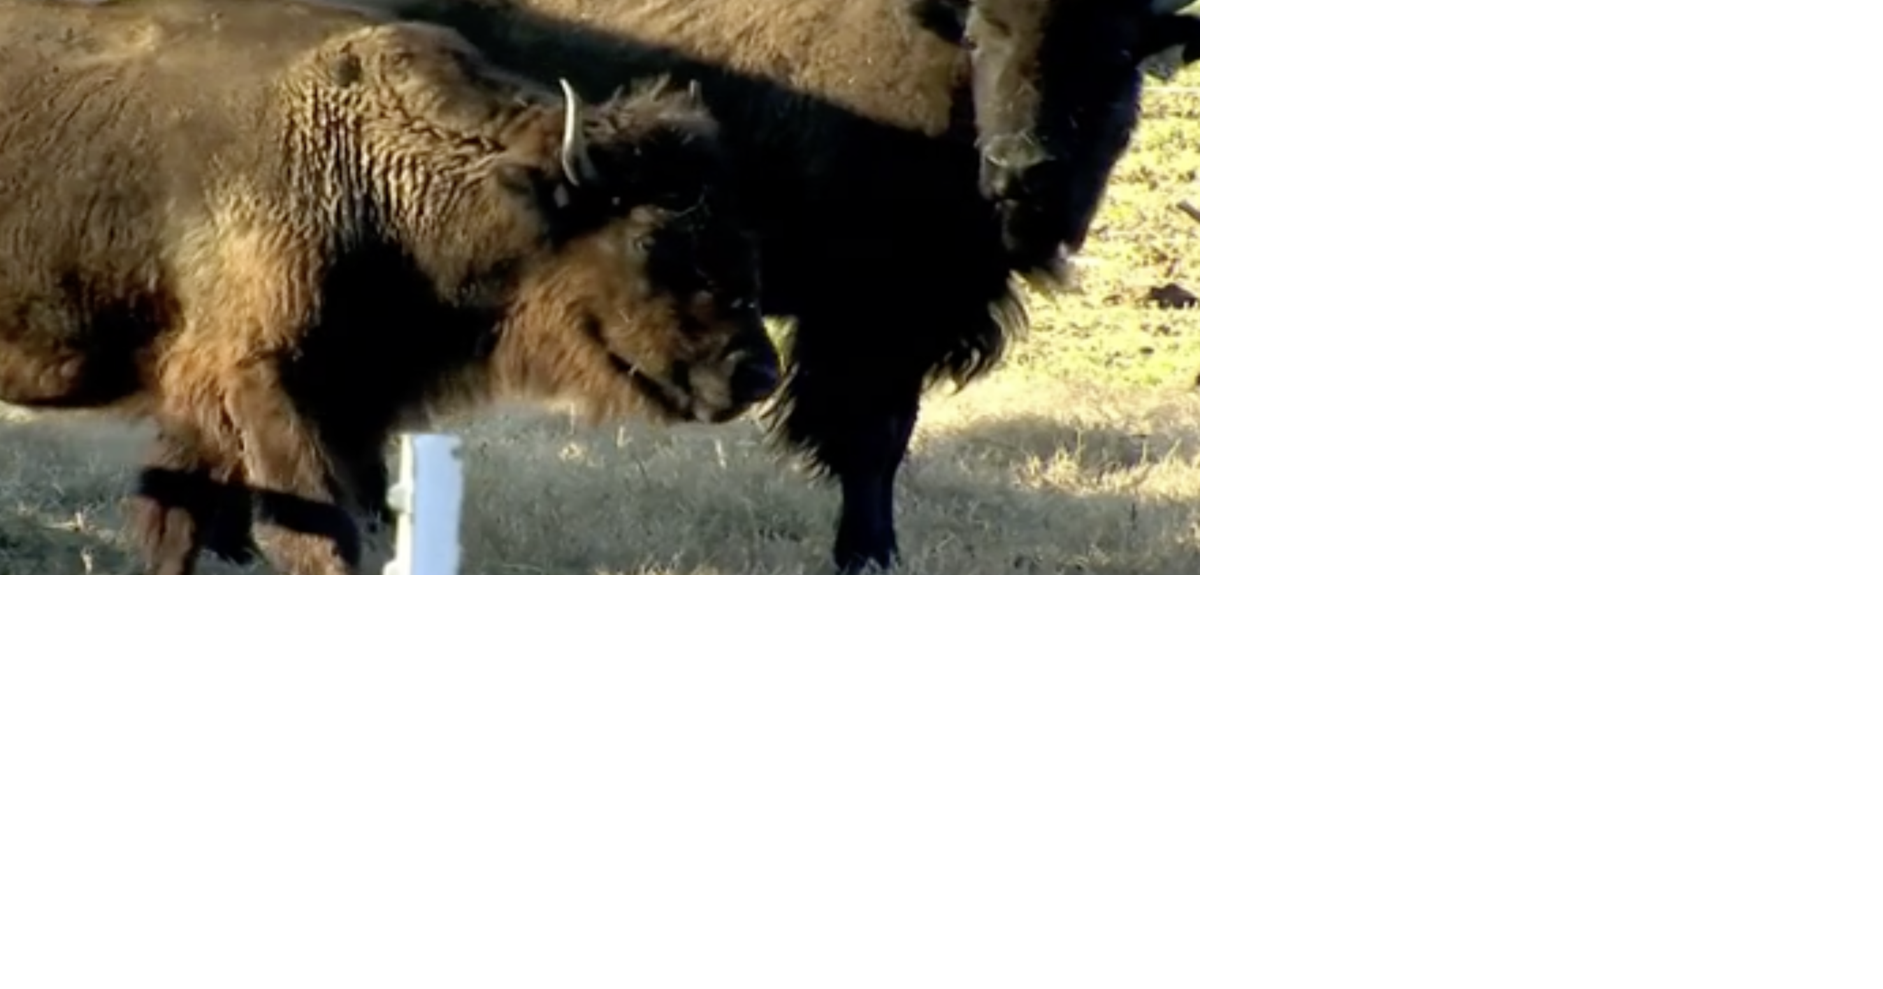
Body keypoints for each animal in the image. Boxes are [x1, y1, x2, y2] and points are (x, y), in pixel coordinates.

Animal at [0, 0, 779, 574]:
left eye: (734, 223)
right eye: (650, 236)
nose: (755, 372)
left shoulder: (259, 396)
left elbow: (179, 522)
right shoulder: (267, 383)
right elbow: (317, 535)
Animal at [300, 0, 1204, 573]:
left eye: (1119, 53)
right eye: (983, 37)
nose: (1023, 170)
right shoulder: (870, 318)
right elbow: (870, 439)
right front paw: (866, 553)